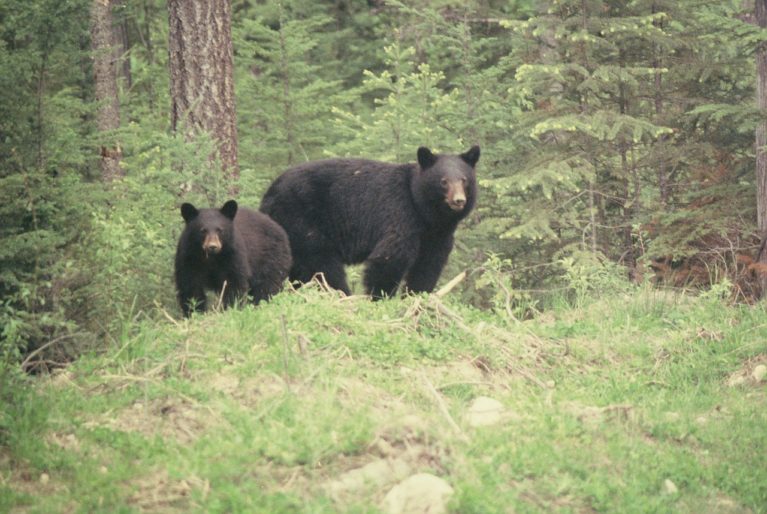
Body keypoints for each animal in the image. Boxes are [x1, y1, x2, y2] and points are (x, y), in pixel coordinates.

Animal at [259, 145, 479, 299]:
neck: (423, 211)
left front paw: (417, 296)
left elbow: (429, 264)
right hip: (302, 220)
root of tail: (269, 194)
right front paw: (380, 297)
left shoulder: (437, 234)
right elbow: (390, 258)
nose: (458, 200)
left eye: (464, 180)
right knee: (322, 265)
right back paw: (342, 295)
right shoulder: (399, 213)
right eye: (443, 181)